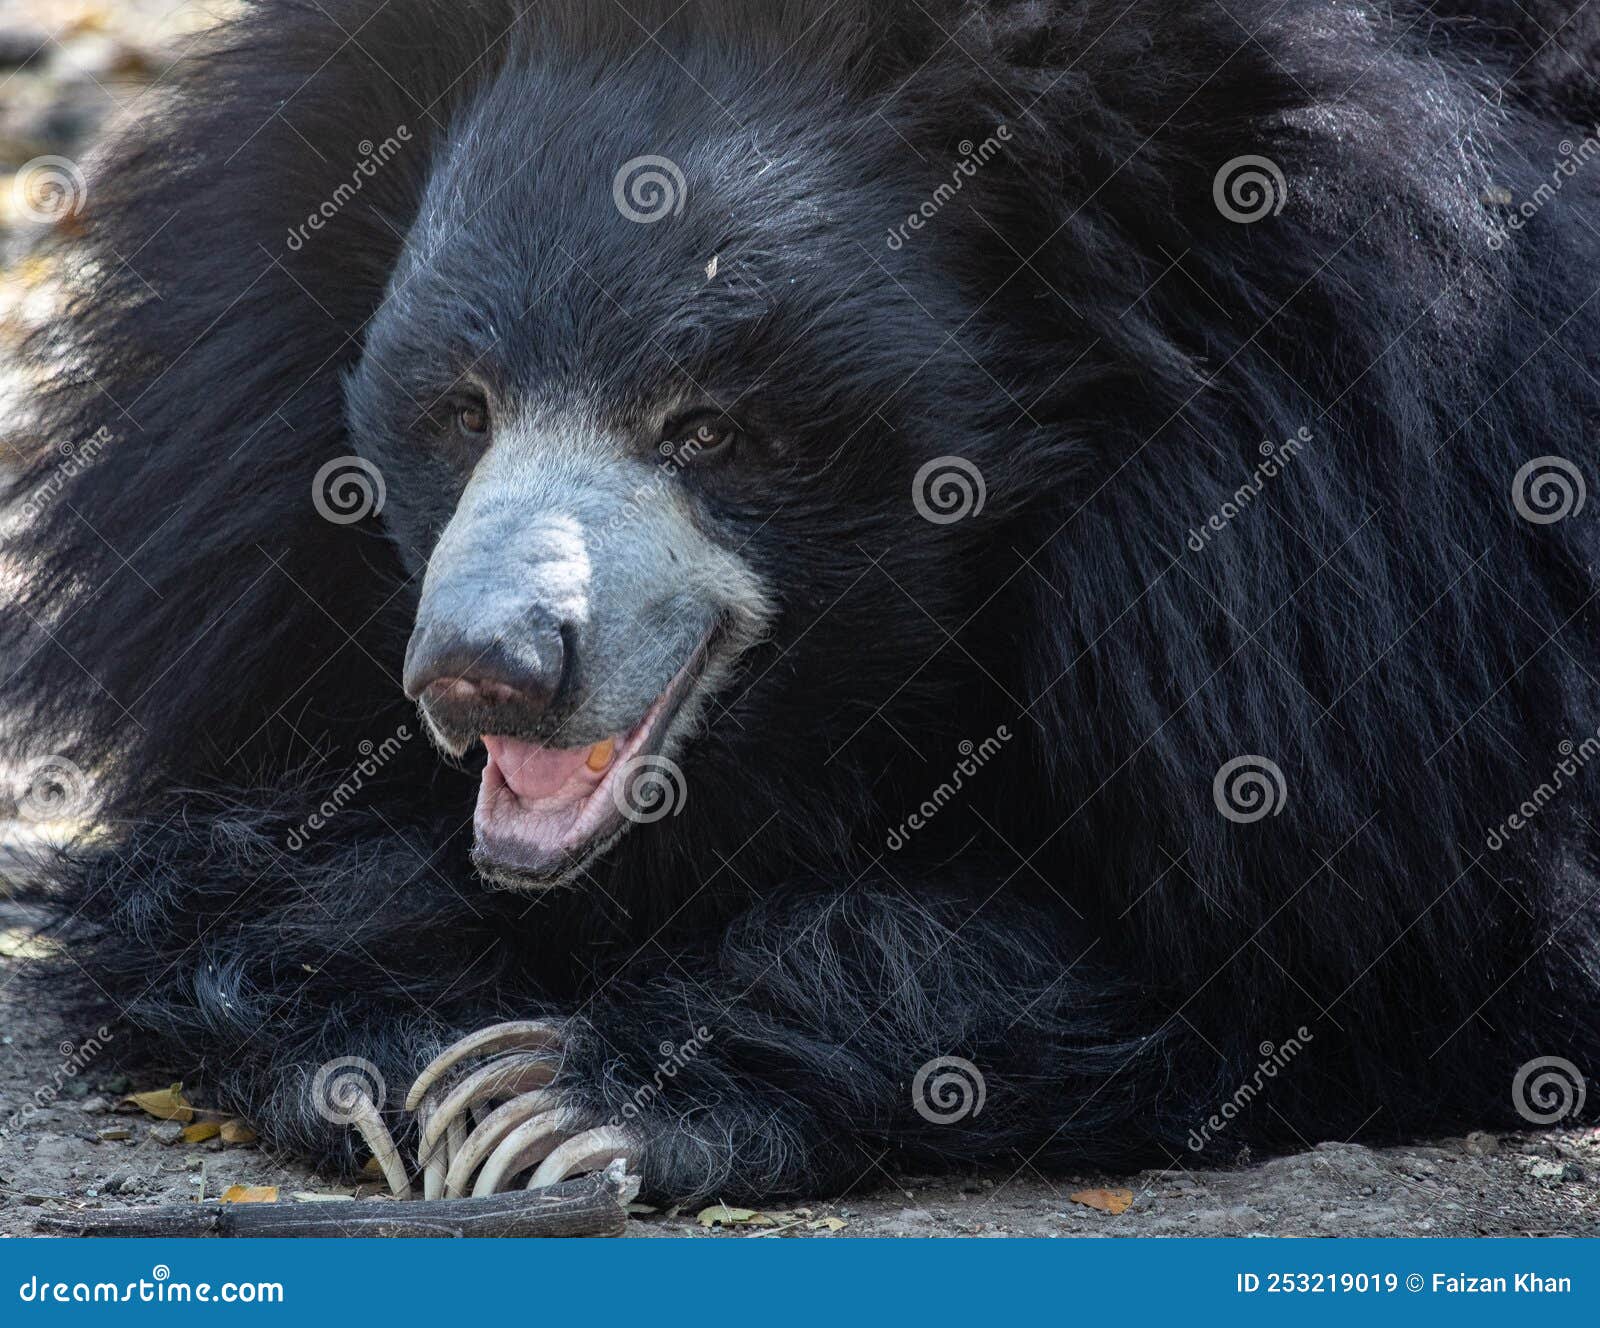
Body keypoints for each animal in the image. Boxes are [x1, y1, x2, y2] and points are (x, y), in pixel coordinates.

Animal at [3, 0, 1599, 1203]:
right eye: (461, 407)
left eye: (708, 429)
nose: (480, 671)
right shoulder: (229, 523)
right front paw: (408, 1051)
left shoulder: (1351, 594)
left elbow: (1308, 956)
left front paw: (558, 1101)